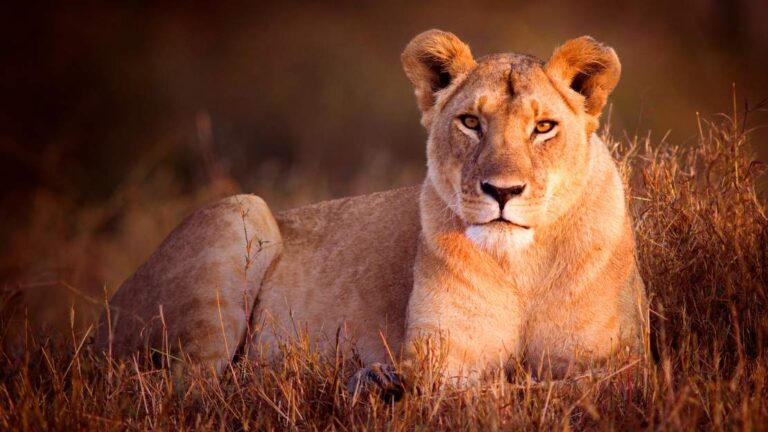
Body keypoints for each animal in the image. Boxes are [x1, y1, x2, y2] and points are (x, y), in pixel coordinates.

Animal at [97, 30, 648, 397]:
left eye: (544, 127)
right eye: (470, 122)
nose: (502, 191)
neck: (521, 266)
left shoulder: (616, 362)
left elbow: (562, 388)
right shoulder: (440, 359)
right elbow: (482, 393)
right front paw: (381, 381)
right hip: (239, 211)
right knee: (190, 392)